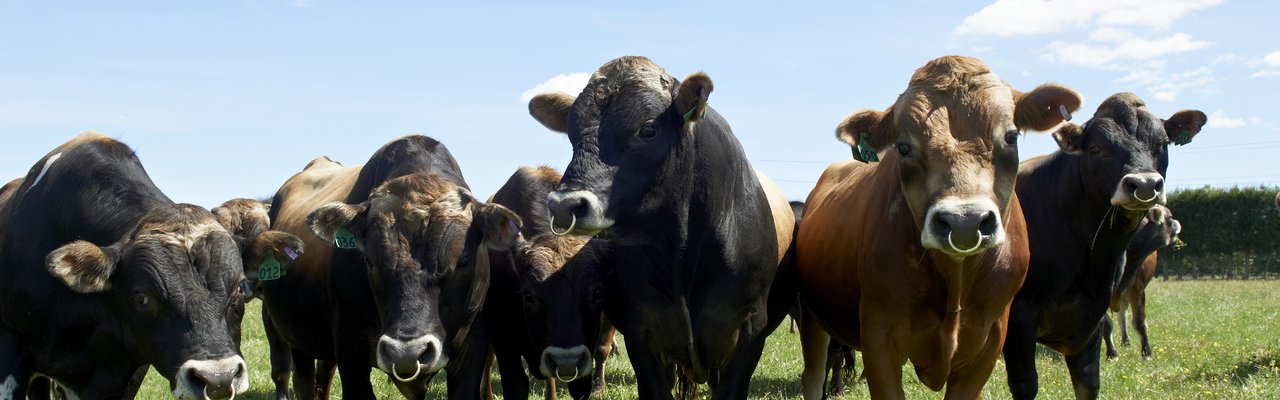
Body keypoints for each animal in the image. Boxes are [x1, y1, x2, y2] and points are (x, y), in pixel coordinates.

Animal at [264, 135, 520, 399]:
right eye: (369, 261)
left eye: (464, 261)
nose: (406, 353)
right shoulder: (349, 346)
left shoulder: (473, 343)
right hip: (295, 336)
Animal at [527, 56, 797, 399]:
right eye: (572, 133)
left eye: (648, 129)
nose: (564, 205)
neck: (681, 256)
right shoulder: (641, 332)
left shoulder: (749, 331)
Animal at [796, 56, 1081, 399]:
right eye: (903, 147)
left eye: (1011, 137)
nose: (964, 222)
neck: (955, 282)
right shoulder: (879, 337)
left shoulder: (989, 342)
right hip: (812, 318)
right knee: (814, 377)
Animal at [1104, 205, 1181, 360]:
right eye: (1170, 217)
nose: (1177, 221)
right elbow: (1107, 324)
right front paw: (1112, 353)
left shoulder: (1137, 288)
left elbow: (1139, 321)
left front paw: (1147, 353)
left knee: (1123, 315)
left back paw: (1126, 342)